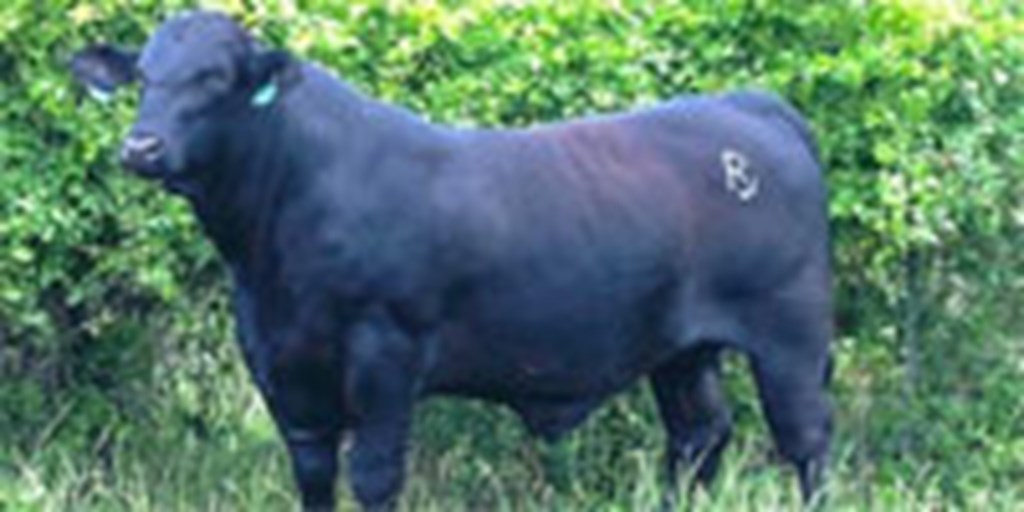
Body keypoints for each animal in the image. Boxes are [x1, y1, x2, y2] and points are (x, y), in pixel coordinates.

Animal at [70, 10, 834, 511]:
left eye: (215, 77)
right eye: (144, 76)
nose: (141, 146)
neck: (268, 256)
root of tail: (751, 106)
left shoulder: (385, 353)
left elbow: (374, 474)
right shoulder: (282, 367)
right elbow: (314, 475)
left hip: (790, 335)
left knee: (805, 439)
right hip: (681, 350)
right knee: (700, 436)